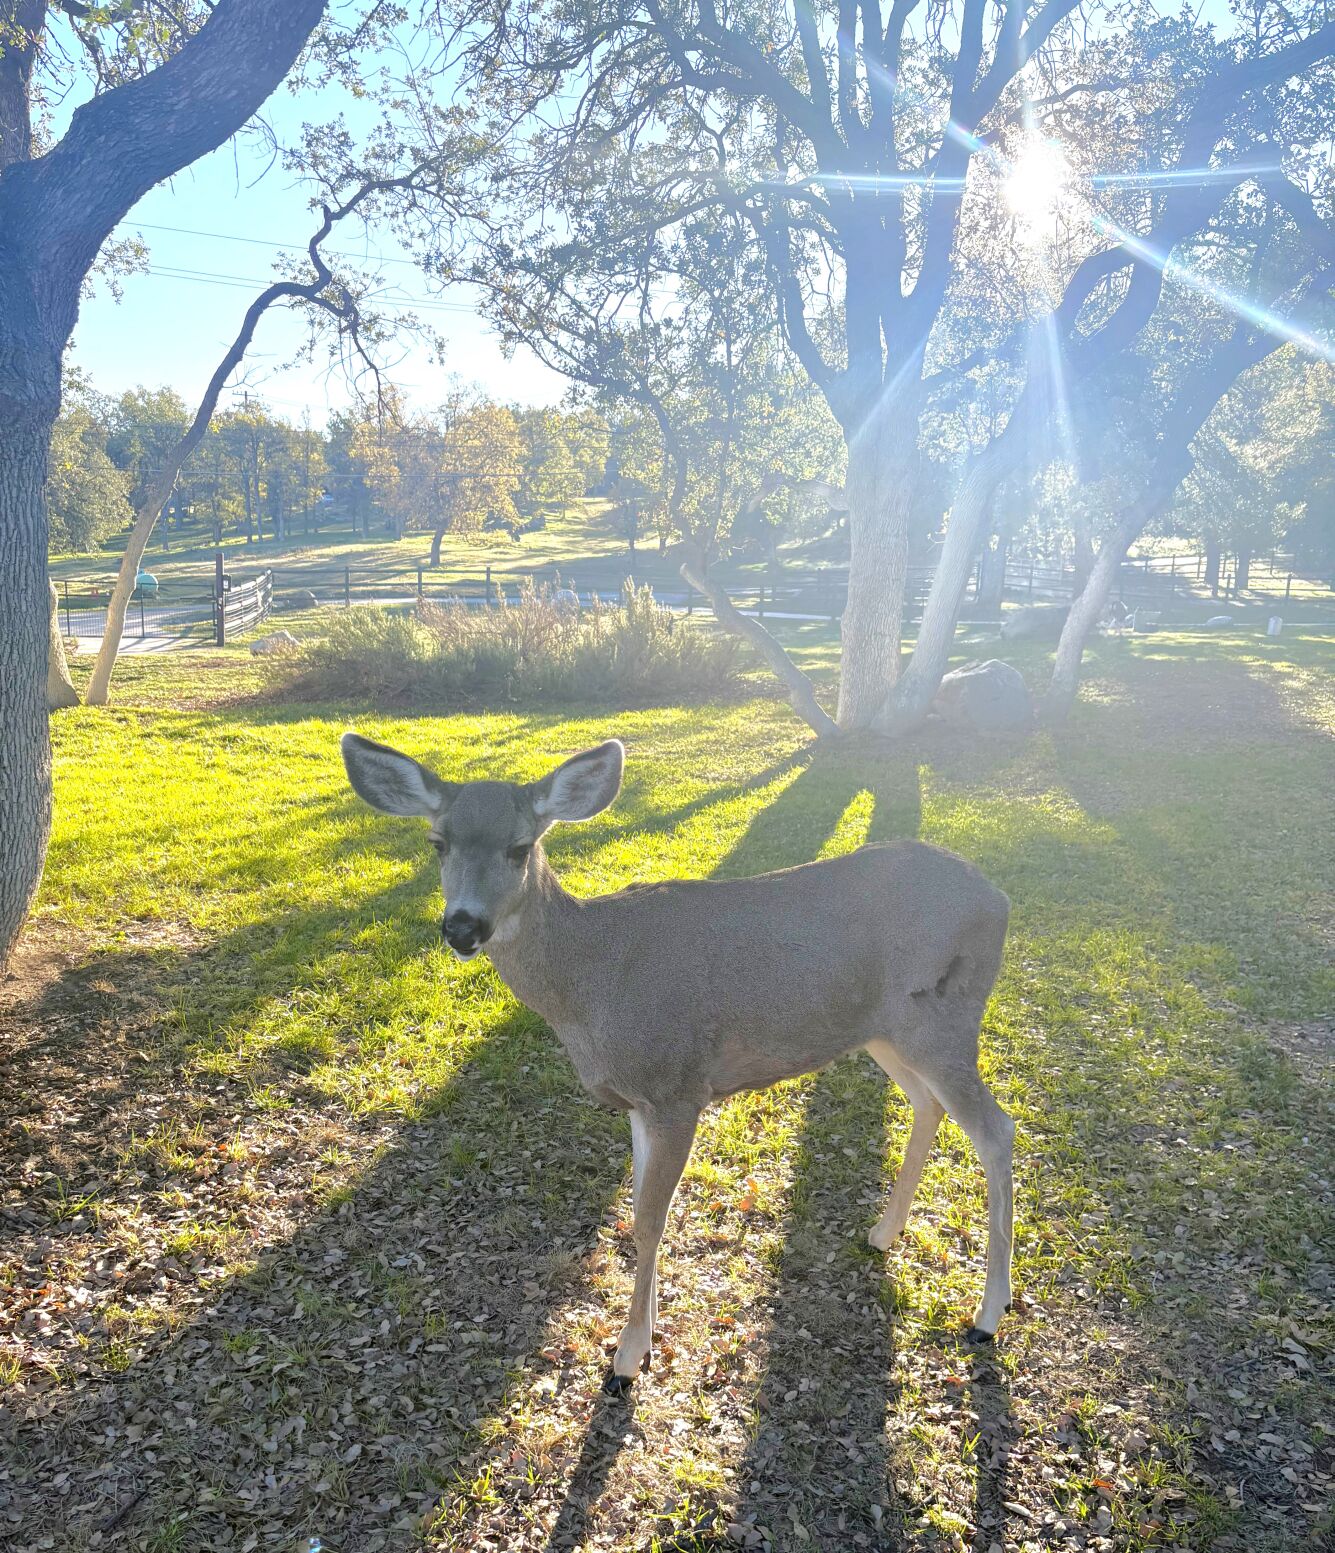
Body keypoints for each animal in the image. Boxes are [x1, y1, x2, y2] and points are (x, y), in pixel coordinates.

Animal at [341, 732, 1015, 1394]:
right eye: (437, 843)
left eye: (520, 847)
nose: (463, 926)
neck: (590, 986)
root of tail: (999, 897)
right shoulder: (638, 1102)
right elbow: (640, 1211)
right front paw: (647, 1325)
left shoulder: (677, 1085)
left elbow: (648, 1220)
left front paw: (626, 1358)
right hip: (885, 1032)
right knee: (929, 1105)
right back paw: (882, 1233)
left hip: (944, 1015)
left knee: (995, 1128)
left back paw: (987, 1315)